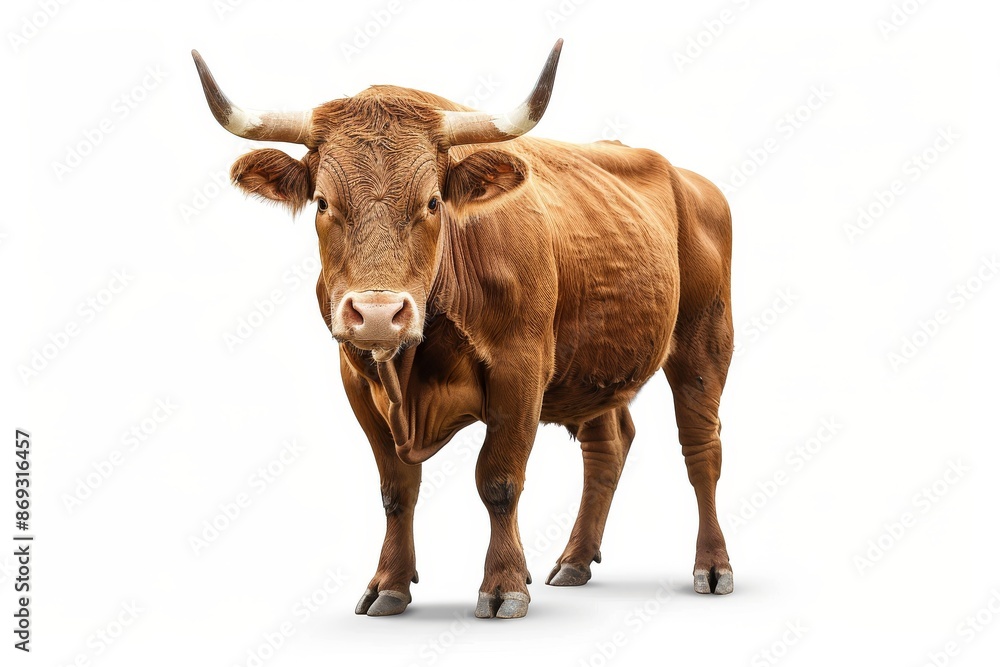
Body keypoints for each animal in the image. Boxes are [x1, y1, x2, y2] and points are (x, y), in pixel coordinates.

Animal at [191, 39, 735, 619]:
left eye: (433, 202)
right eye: (322, 202)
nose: (378, 312)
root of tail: (692, 180)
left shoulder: (521, 370)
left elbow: (498, 480)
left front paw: (504, 584)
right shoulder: (355, 378)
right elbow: (396, 489)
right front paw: (389, 583)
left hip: (705, 342)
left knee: (702, 449)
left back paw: (712, 565)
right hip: (595, 364)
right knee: (607, 447)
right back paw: (574, 561)